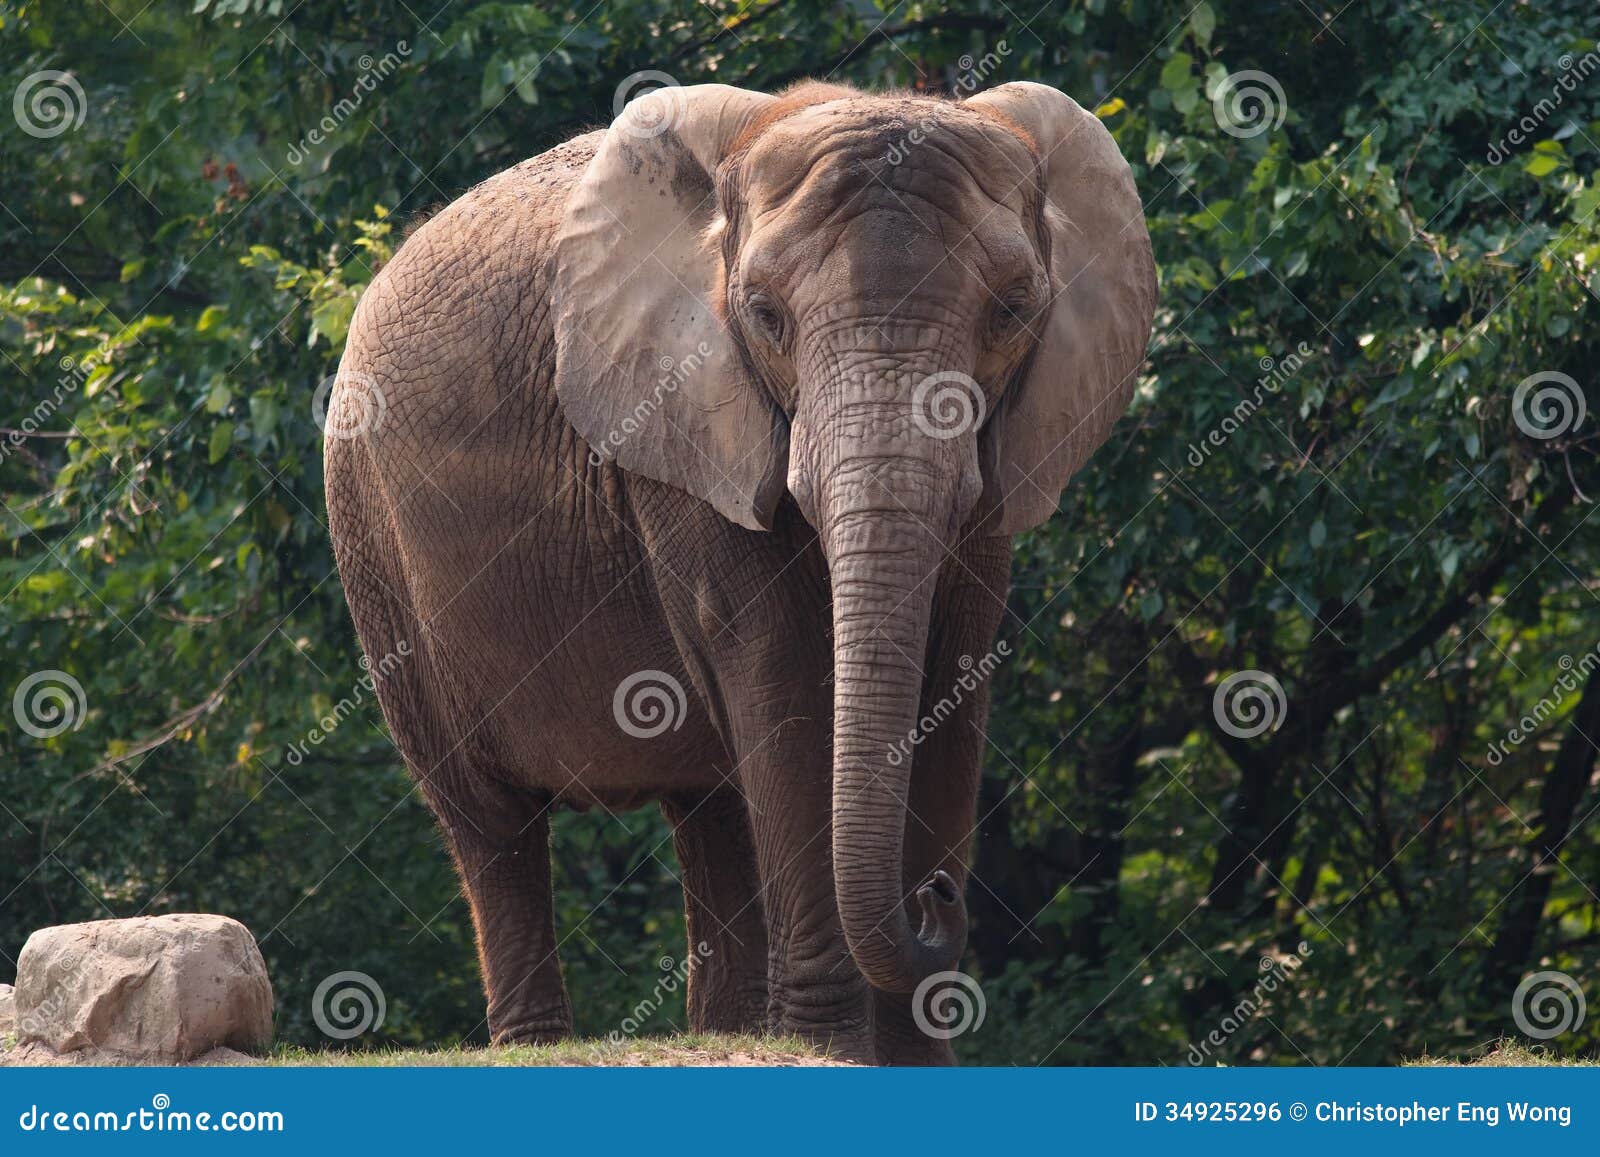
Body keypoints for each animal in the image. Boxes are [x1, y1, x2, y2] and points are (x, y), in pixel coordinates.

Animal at [324, 79, 1156, 1065]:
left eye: (1013, 309)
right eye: (764, 315)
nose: (937, 898)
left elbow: (953, 678)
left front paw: (913, 1056)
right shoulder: (679, 424)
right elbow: (779, 673)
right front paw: (830, 1048)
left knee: (709, 809)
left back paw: (723, 1026)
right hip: (373, 546)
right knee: (493, 826)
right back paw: (538, 1034)